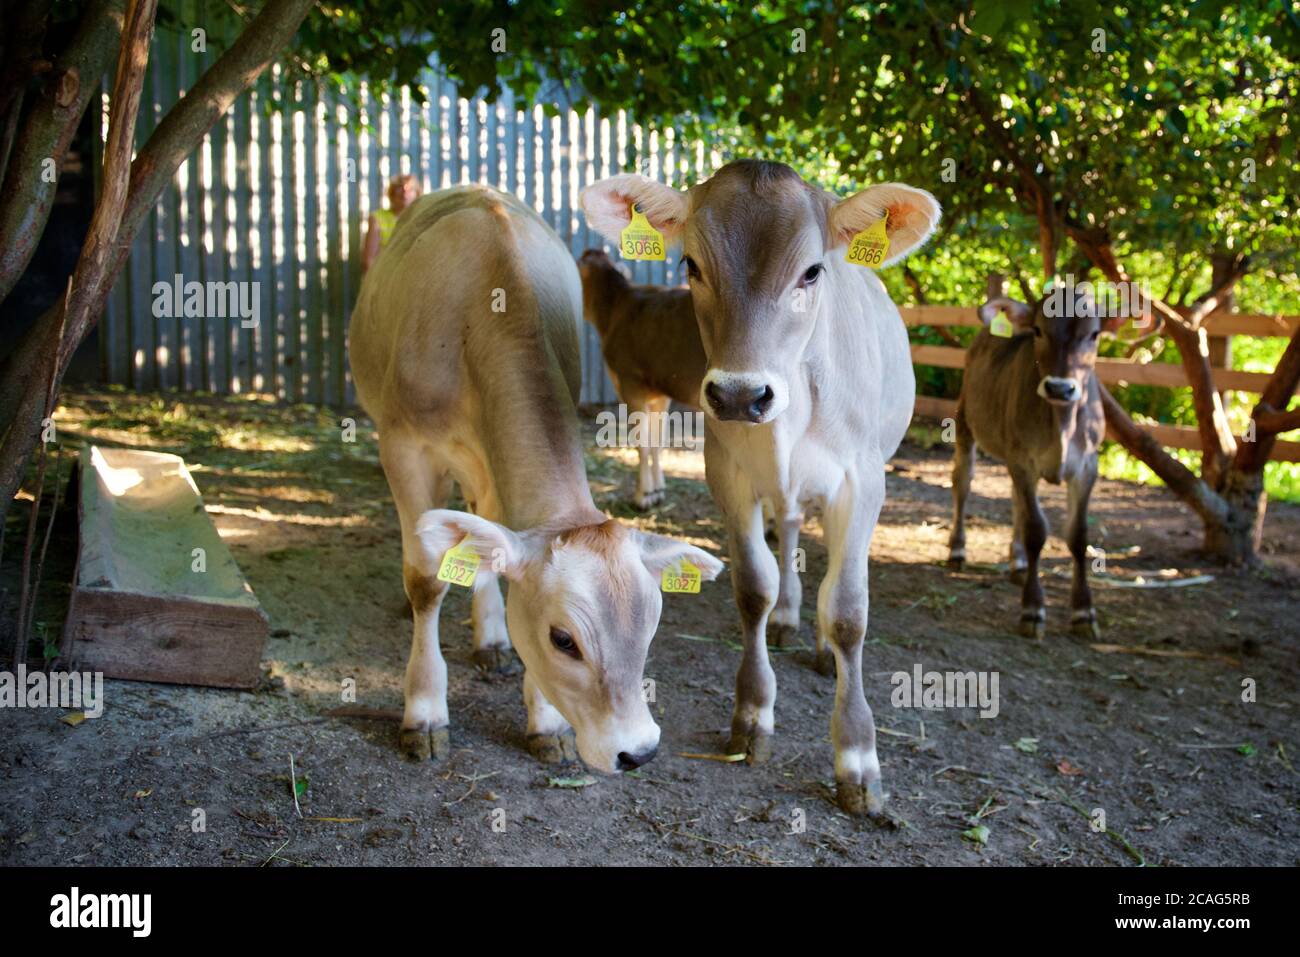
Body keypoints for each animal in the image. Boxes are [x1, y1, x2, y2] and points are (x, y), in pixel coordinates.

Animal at [577, 249, 706, 509]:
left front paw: (642, 496)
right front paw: (657, 491)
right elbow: (657, 442)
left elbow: (642, 444)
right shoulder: (659, 394)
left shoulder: (630, 385)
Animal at [946, 290, 1113, 640]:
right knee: (962, 483)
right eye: (1038, 330)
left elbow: (1078, 535)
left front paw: (1084, 612)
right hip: (965, 417)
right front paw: (1033, 609)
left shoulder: (1087, 466)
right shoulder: (1023, 460)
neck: (1061, 422)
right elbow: (1036, 528)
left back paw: (1019, 562)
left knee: (1014, 500)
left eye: (1094, 334)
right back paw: (957, 550)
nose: (1060, 387)